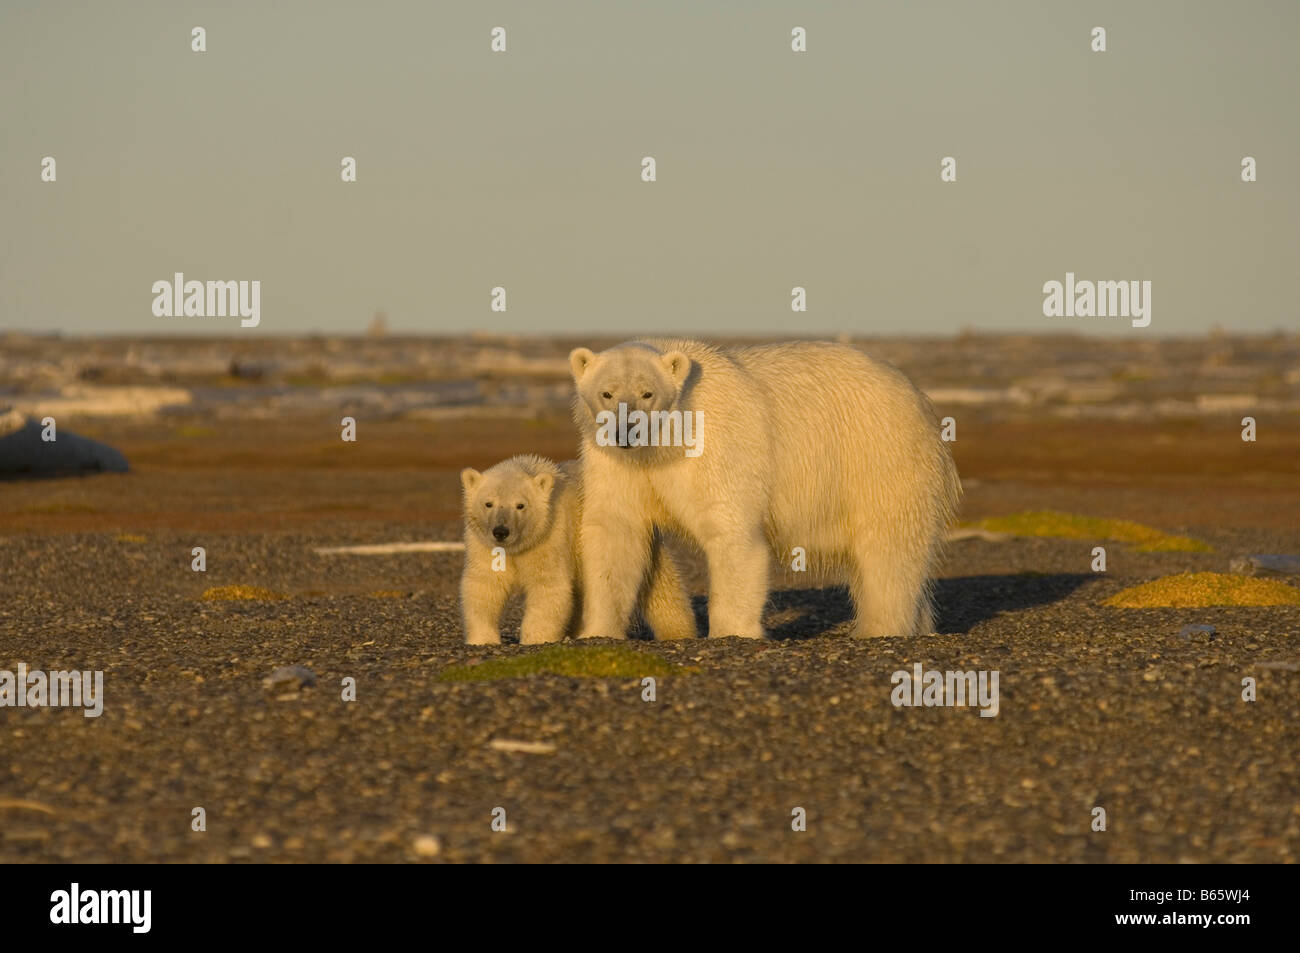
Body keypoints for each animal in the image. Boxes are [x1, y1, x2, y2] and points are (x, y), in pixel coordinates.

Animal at [459, 453, 697, 645]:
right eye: (488, 503)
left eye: (520, 505)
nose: (501, 531)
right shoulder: (484, 545)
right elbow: (484, 585)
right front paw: (482, 639)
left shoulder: (551, 538)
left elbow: (549, 587)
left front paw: (535, 638)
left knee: (659, 584)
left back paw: (679, 631)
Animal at [568, 339, 961, 640]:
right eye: (607, 393)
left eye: (647, 393)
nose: (625, 430)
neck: (662, 445)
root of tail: (917, 396)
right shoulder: (616, 465)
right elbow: (614, 534)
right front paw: (596, 631)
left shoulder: (717, 450)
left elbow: (732, 535)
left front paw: (732, 632)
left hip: (880, 461)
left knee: (888, 552)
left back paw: (879, 628)